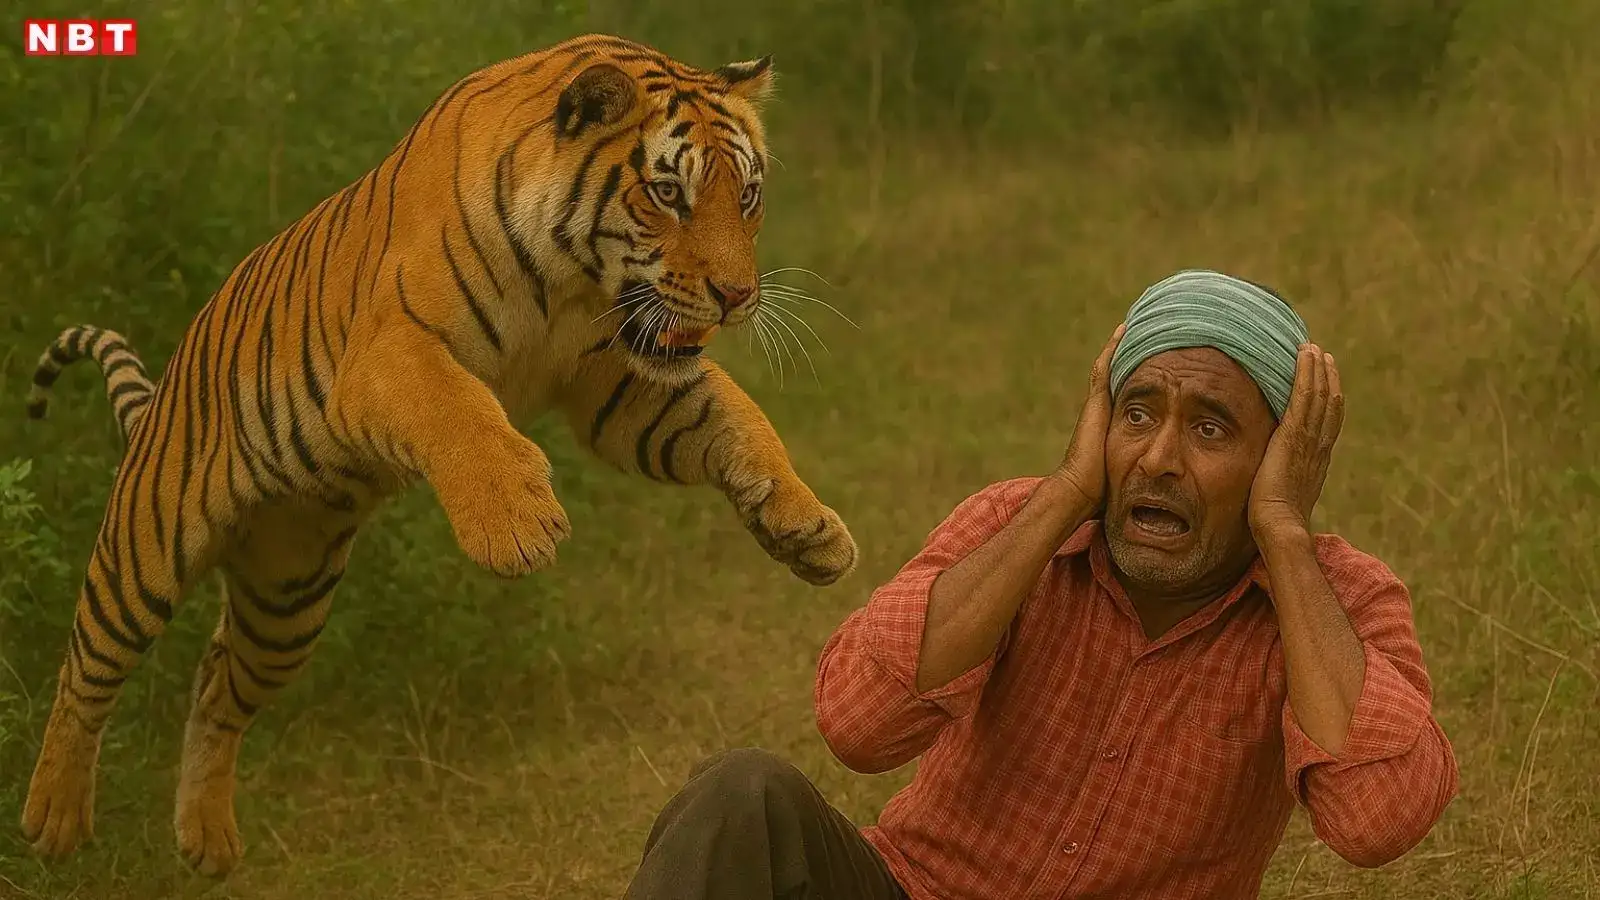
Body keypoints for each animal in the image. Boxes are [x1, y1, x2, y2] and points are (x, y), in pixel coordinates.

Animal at [18, 33, 858, 877]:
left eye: (747, 196)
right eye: (666, 193)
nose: (737, 296)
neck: (572, 286)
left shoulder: (617, 386)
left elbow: (738, 420)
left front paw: (809, 528)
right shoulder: (388, 348)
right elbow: (456, 411)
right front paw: (517, 525)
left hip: (285, 602)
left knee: (216, 683)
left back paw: (206, 840)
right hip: (148, 545)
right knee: (87, 664)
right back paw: (53, 819)